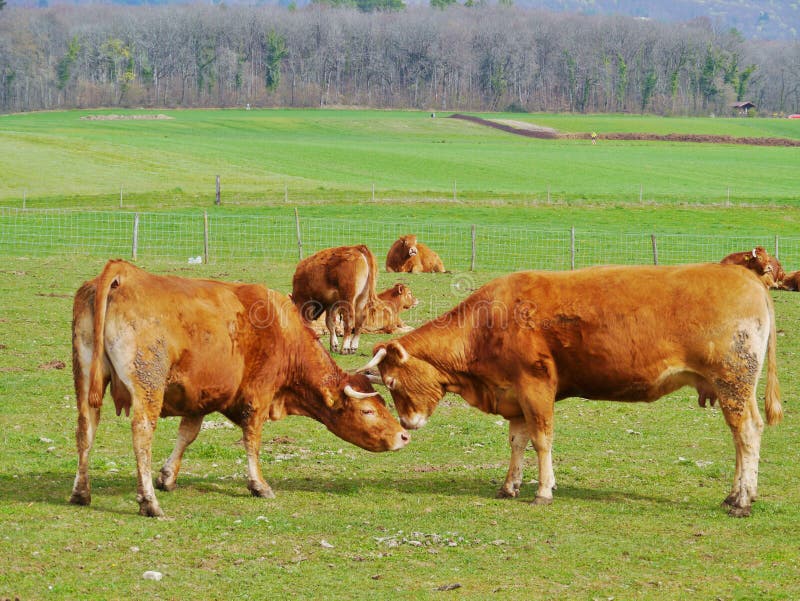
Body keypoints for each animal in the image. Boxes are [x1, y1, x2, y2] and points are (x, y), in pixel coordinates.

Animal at [69, 260, 409, 517]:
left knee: (86, 428)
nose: (403, 436)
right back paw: (149, 502)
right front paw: (258, 485)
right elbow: (252, 441)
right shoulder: (257, 398)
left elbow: (187, 435)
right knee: (141, 434)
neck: (284, 332)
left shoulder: (200, 396)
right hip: (148, 386)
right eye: (367, 410)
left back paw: (81, 492)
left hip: (85, 378)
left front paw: (168, 476)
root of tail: (125, 273)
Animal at [358, 263, 782, 517]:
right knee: (747, 435)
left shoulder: (535, 387)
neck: (488, 323)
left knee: (746, 435)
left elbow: (542, 440)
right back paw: (738, 494)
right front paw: (509, 485)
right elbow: (517, 442)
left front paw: (544, 490)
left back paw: (741, 500)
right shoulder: (514, 396)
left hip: (733, 384)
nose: (408, 425)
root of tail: (746, 277)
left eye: (392, 382)